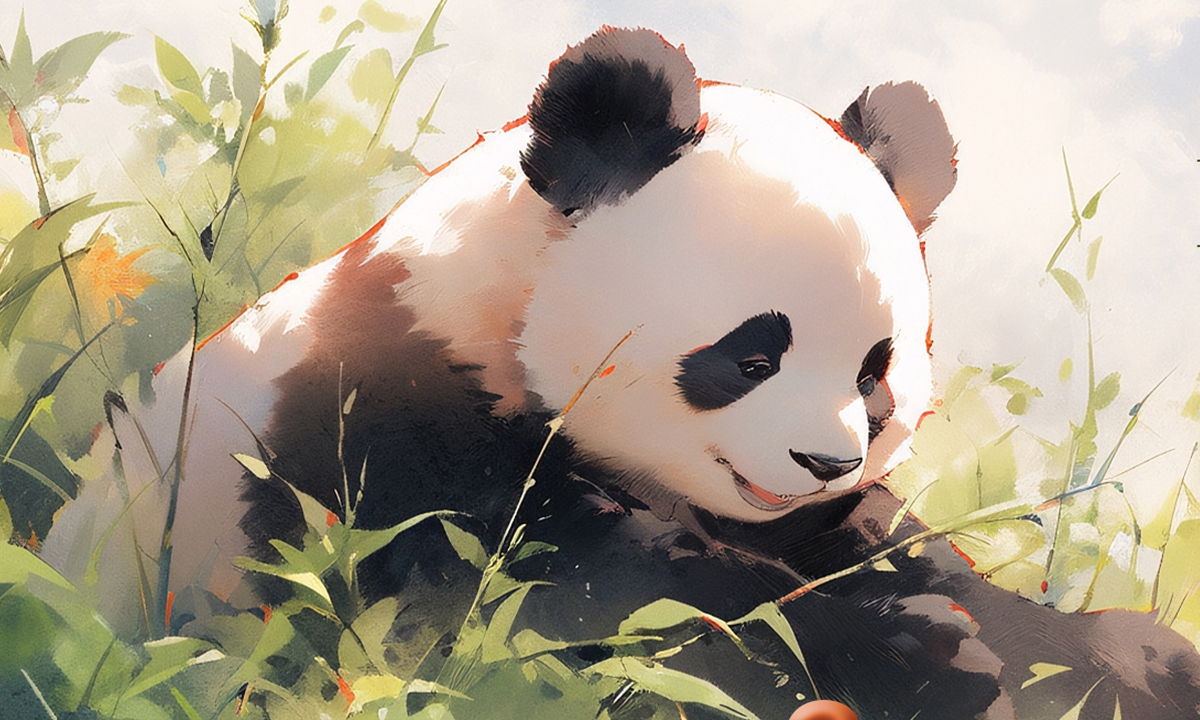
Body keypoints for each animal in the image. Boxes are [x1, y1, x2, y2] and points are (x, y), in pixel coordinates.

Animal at [55, 26, 1200, 720]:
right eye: (750, 354)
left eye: (876, 373)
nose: (824, 463)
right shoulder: (389, 428)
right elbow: (574, 606)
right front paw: (915, 655)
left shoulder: (825, 525)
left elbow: (922, 567)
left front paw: (1119, 660)